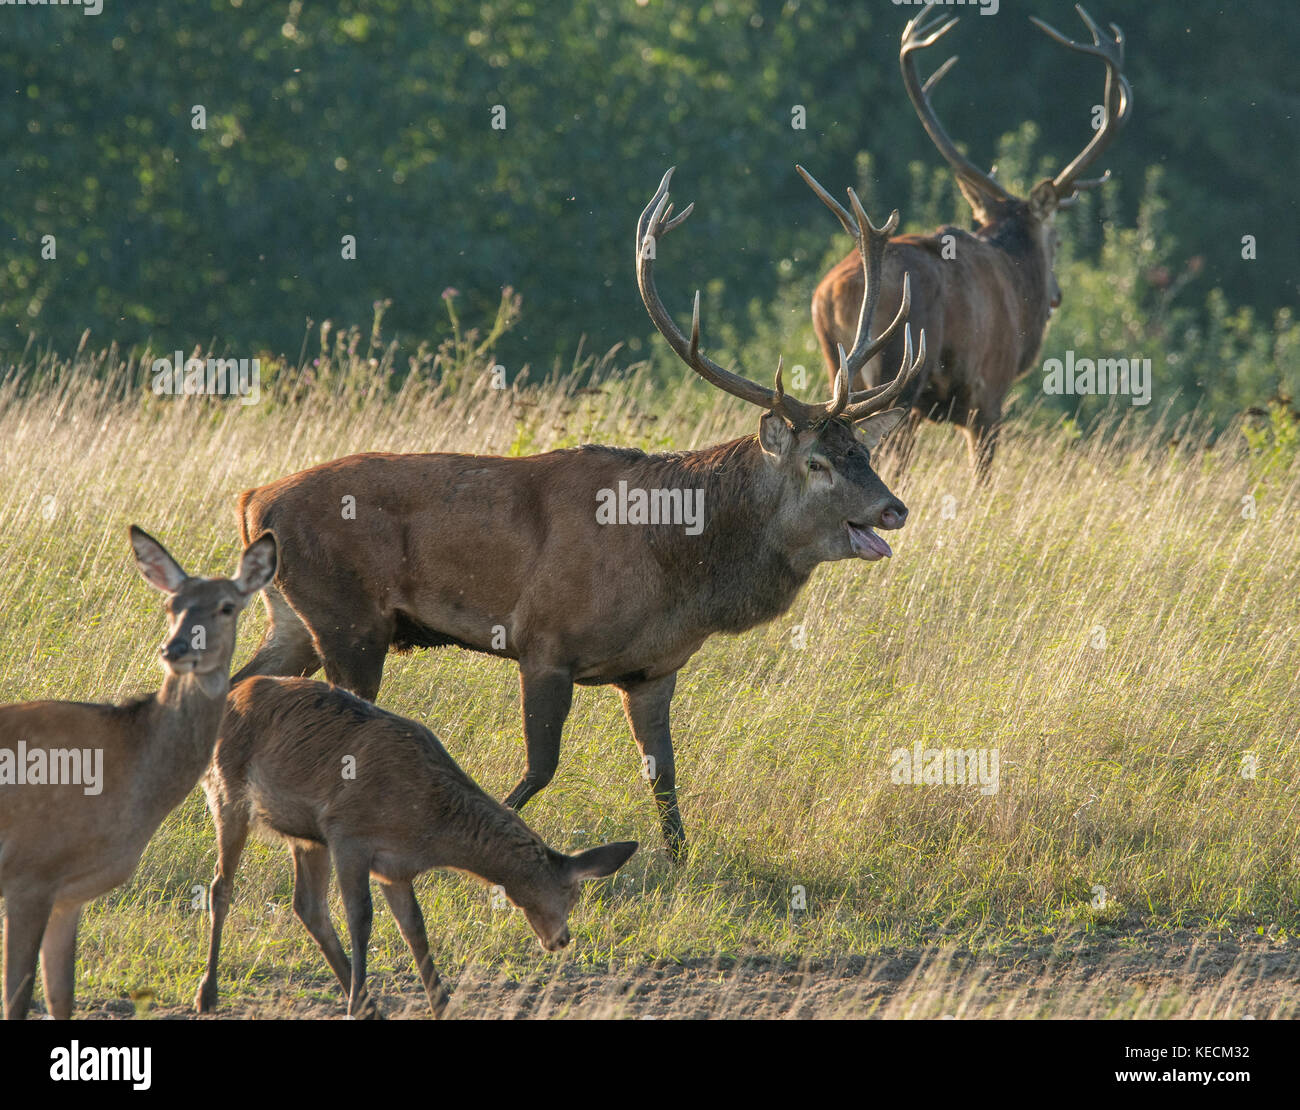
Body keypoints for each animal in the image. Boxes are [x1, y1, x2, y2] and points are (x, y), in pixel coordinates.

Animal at [0, 526, 276, 1020]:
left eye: (227, 606)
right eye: (171, 605)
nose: (175, 649)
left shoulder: (68, 894)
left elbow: (61, 996)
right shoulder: (29, 872)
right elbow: (16, 998)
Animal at [194, 676, 639, 1018]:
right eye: (572, 892)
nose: (561, 939)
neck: (428, 827)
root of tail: (233, 695)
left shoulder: (394, 867)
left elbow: (415, 929)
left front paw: (442, 1005)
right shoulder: (348, 834)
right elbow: (362, 919)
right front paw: (357, 1005)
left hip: (306, 835)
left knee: (307, 905)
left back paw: (368, 1004)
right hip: (227, 794)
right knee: (221, 887)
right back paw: (208, 994)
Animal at [229, 165, 925, 863]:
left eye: (864, 451)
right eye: (818, 463)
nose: (893, 508)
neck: (676, 571)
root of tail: (252, 500)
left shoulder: (655, 669)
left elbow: (666, 777)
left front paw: (680, 862)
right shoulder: (544, 640)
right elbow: (541, 768)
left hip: (294, 618)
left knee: (236, 685)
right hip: (348, 619)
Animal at [810, 3, 1132, 479]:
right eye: (1055, 241)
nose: (1056, 296)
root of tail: (832, 293)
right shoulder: (990, 392)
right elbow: (983, 474)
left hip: (839, 363)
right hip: (898, 366)